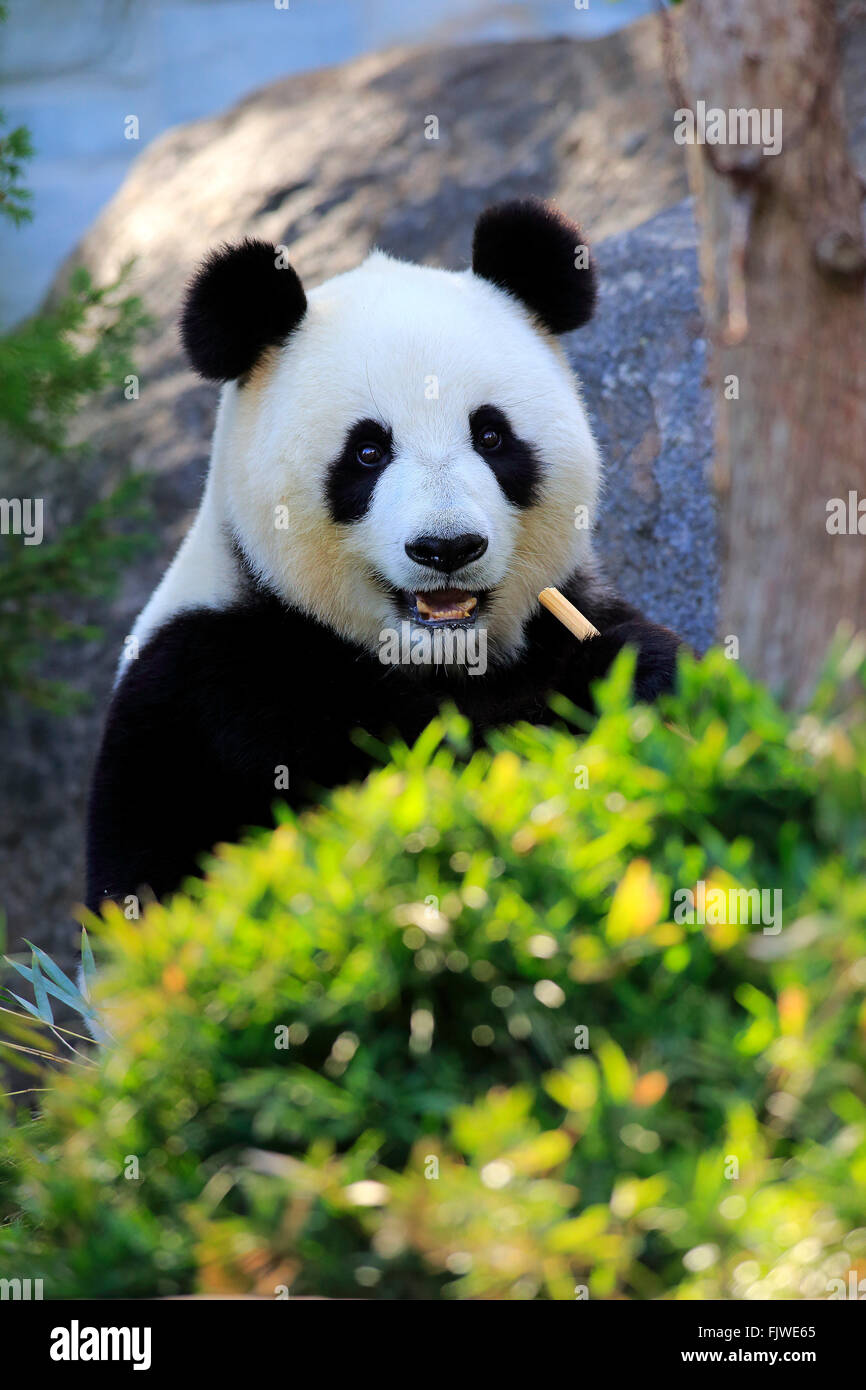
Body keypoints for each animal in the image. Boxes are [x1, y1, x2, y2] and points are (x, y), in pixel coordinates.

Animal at [86, 199, 680, 912]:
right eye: (367, 452)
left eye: (491, 436)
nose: (447, 547)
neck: (444, 659)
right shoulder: (227, 685)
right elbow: (429, 783)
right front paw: (605, 675)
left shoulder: (566, 603)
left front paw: (648, 665)